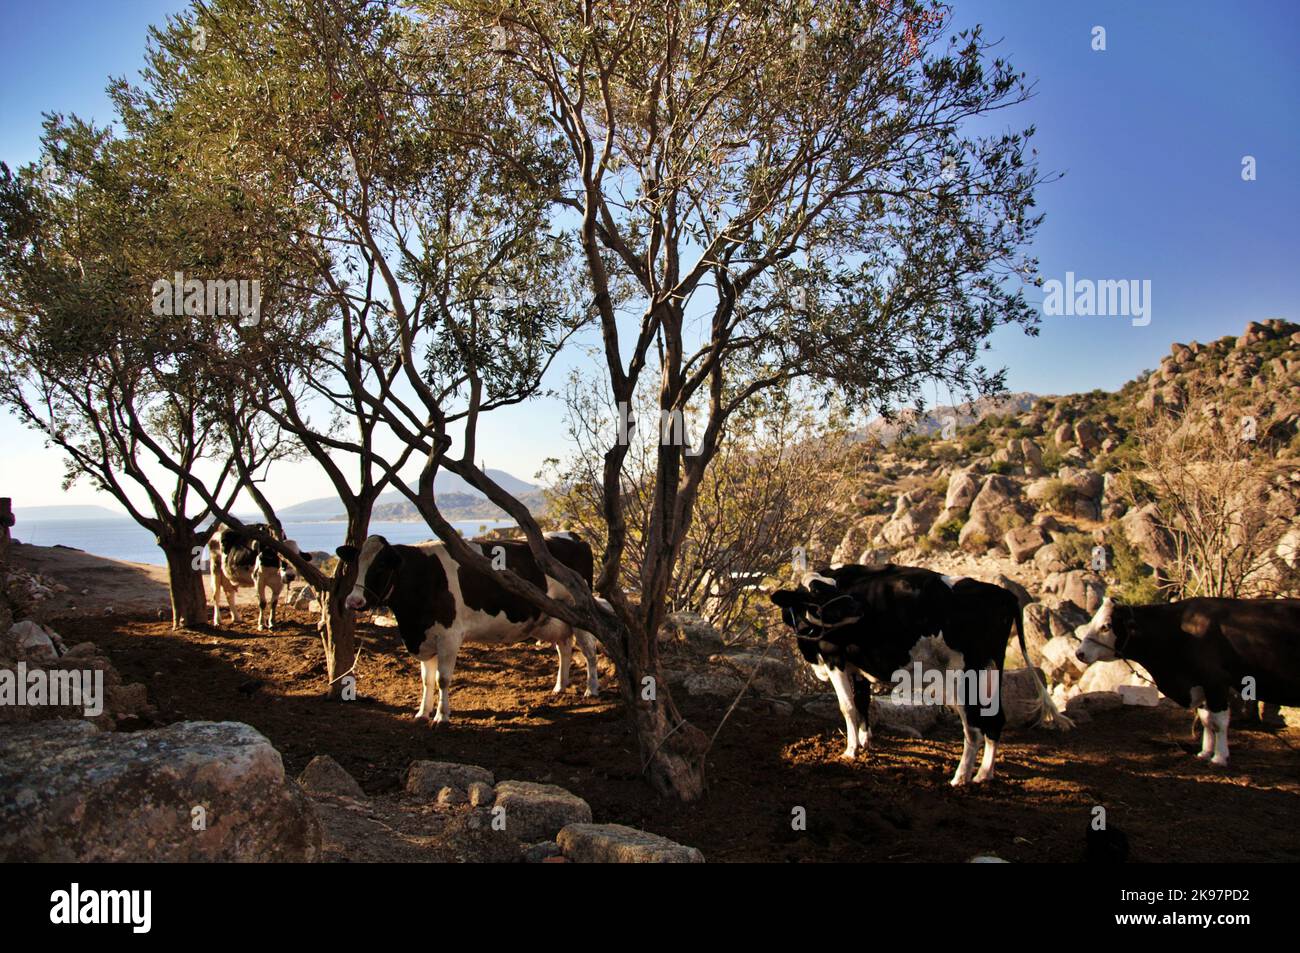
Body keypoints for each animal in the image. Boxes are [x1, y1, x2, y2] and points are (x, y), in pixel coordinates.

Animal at [334, 531, 601, 725]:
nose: (353, 601)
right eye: (355, 565)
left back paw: (592, 689)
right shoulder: (424, 637)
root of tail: (574, 536)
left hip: (579, 611)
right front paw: (422, 713)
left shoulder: (449, 636)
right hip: (552, 618)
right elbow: (426, 681)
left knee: (589, 650)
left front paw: (441, 717)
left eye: (380, 566)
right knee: (564, 647)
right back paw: (560, 686)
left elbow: (442, 679)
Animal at [772, 563, 1070, 786]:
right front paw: (866, 742)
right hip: (992, 668)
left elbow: (848, 707)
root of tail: (1002, 594)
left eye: (828, 590)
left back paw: (960, 777)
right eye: (818, 593)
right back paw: (984, 774)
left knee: (973, 728)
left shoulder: (835, 659)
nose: (859, 607)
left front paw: (850, 751)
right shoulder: (858, 665)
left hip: (963, 676)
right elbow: (863, 703)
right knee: (995, 719)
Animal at [1074, 596, 1300, 766]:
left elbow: (1219, 721)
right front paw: (1205, 752)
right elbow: (1207, 720)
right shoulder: (1200, 683)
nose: (1079, 653)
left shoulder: (1215, 681)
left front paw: (1219, 757)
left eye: (1106, 626)